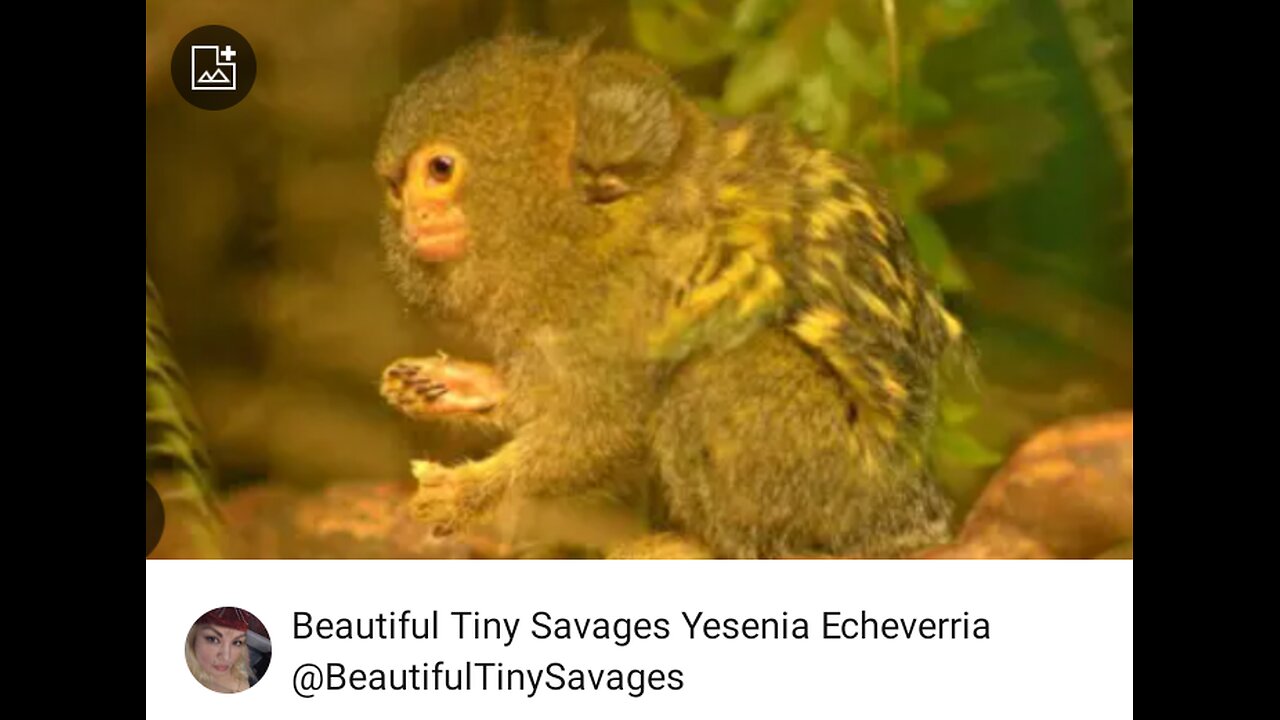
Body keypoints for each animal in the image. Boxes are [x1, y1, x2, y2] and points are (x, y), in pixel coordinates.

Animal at [373, 35, 963, 558]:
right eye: (396, 189)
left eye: (440, 170)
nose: (413, 218)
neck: (576, 224)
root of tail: (912, 509)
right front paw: (458, 386)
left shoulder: (627, 294)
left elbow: (607, 425)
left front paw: (470, 492)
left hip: (840, 486)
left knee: (720, 370)